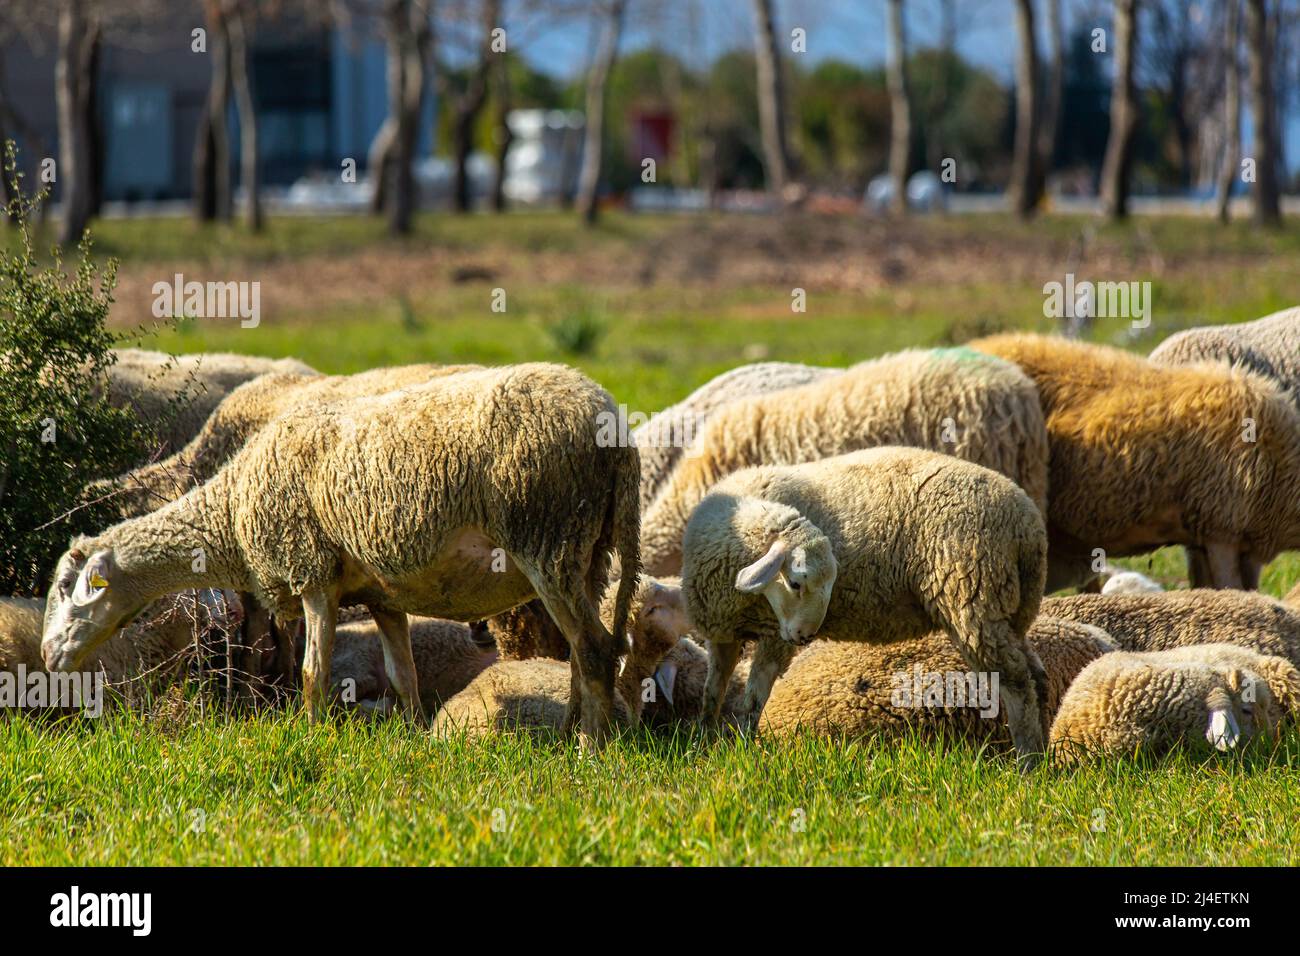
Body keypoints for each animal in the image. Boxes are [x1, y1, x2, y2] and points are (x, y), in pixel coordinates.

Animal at [680, 446, 1050, 766]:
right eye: (796, 583)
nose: (805, 636)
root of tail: (1028, 525)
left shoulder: (775, 636)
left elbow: (754, 698)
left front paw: (743, 748)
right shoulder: (723, 633)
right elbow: (713, 691)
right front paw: (703, 742)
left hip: (973, 599)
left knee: (1016, 681)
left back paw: (1027, 761)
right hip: (1009, 611)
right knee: (1037, 675)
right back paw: (1045, 753)